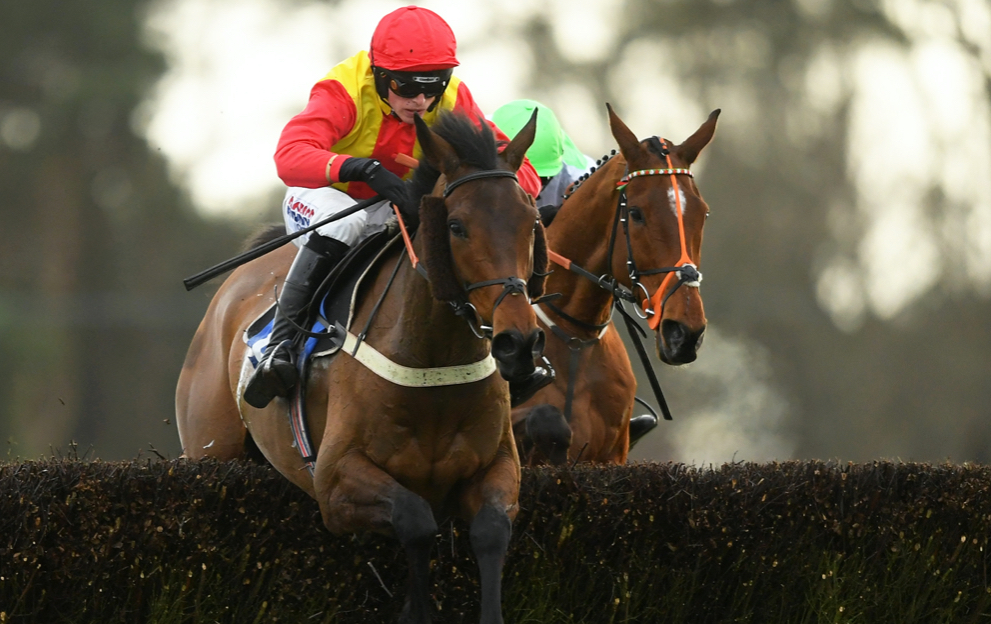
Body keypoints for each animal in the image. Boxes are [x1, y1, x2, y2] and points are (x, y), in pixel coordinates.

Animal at [176, 111, 548, 624]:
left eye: (531, 223)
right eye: (456, 226)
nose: (519, 342)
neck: (434, 363)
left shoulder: (498, 466)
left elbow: (490, 529)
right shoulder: (335, 482)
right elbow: (416, 520)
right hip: (210, 453)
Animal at [513, 104, 719, 466]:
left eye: (702, 213)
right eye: (635, 213)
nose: (685, 333)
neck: (576, 340)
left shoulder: (613, 456)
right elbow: (548, 421)